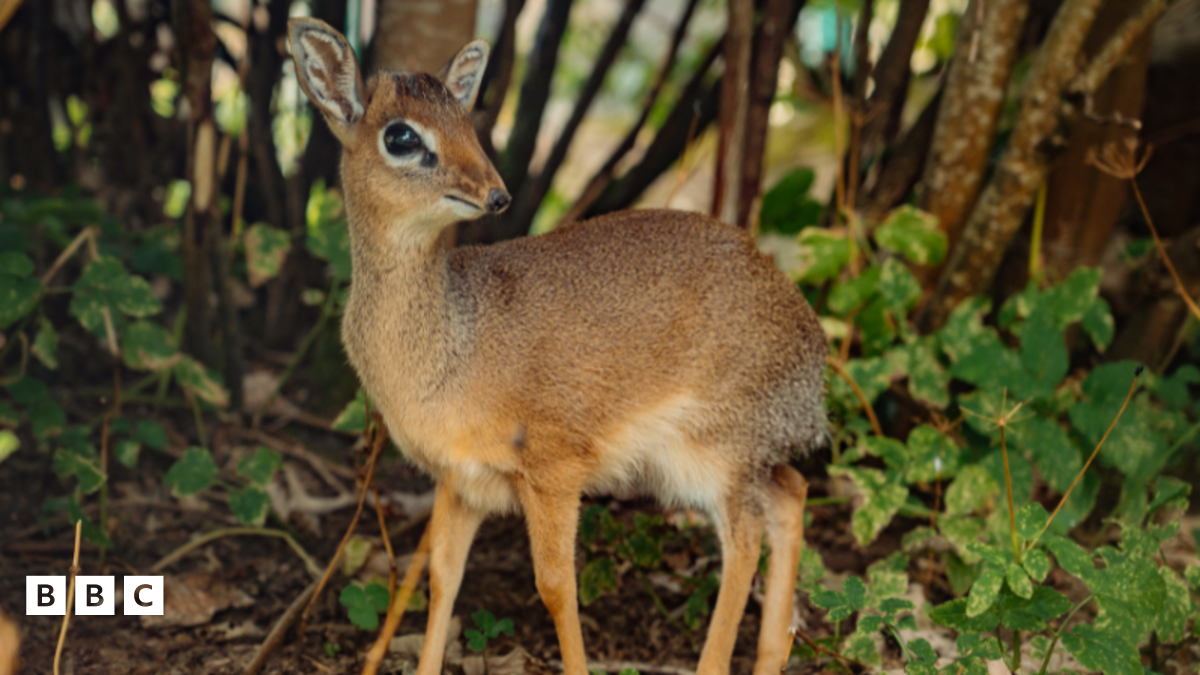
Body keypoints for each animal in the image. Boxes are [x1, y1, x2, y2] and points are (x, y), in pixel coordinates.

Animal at [288, 18, 827, 675]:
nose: (495, 193)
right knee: (791, 494)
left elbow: (555, 587)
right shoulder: (460, 482)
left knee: (745, 540)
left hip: (715, 455)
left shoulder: (553, 472)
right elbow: (443, 578)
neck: (452, 343)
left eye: (469, 121)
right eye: (401, 135)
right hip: (721, 460)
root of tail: (812, 348)